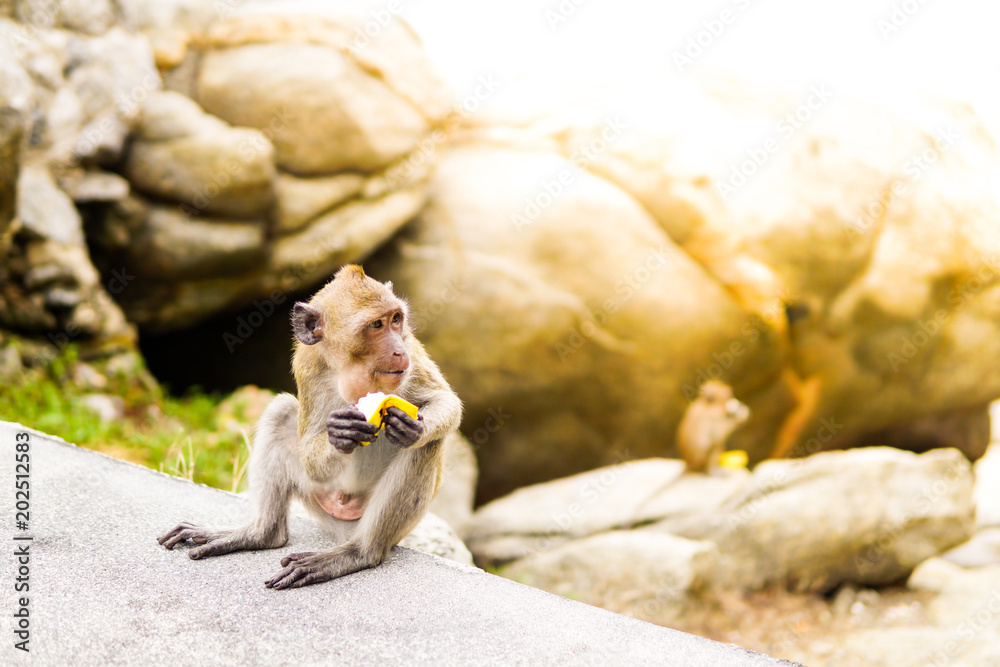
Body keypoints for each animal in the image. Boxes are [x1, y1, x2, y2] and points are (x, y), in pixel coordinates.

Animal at [157, 265, 462, 589]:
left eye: (395, 320)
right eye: (376, 324)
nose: (398, 351)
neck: (352, 370)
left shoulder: (411, 352)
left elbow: (445, 401)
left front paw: (413, 428)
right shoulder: (309, 367)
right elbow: (309, 455)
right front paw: (339, 434)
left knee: (426, 446)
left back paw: (359, 553)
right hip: (320, 497)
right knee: (281, 412)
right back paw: (260, 534)